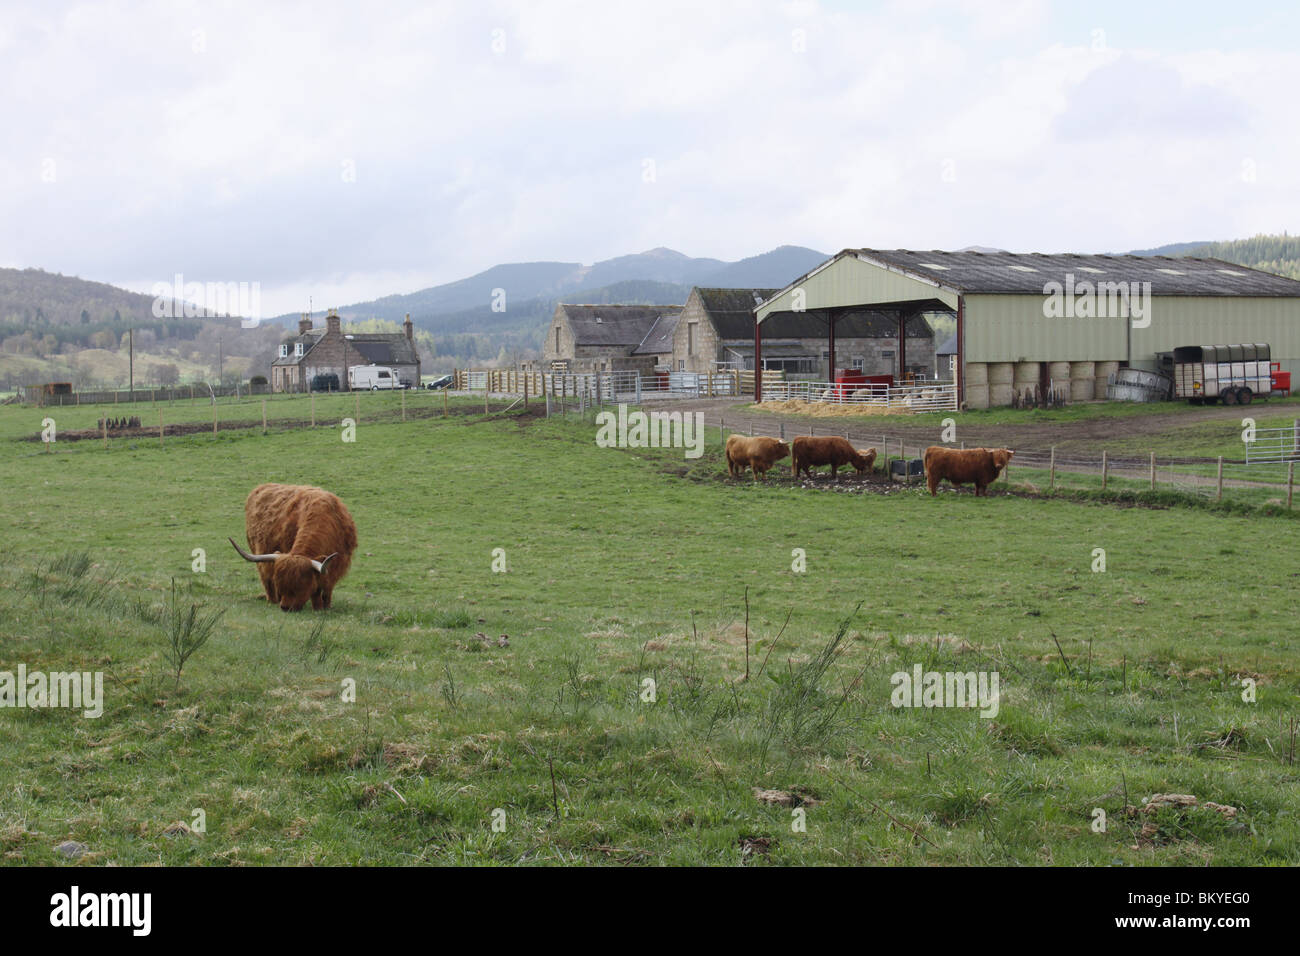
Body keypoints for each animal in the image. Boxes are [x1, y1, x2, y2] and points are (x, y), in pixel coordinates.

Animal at [229, 483, 358, 611]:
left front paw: (324, 607)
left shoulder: (336, 566)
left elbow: (326, 588)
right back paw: (272, 600)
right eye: (280, 585)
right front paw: (318, 606)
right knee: (265, 576)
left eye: (301, 588)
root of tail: (263, 486)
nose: (285, 607)